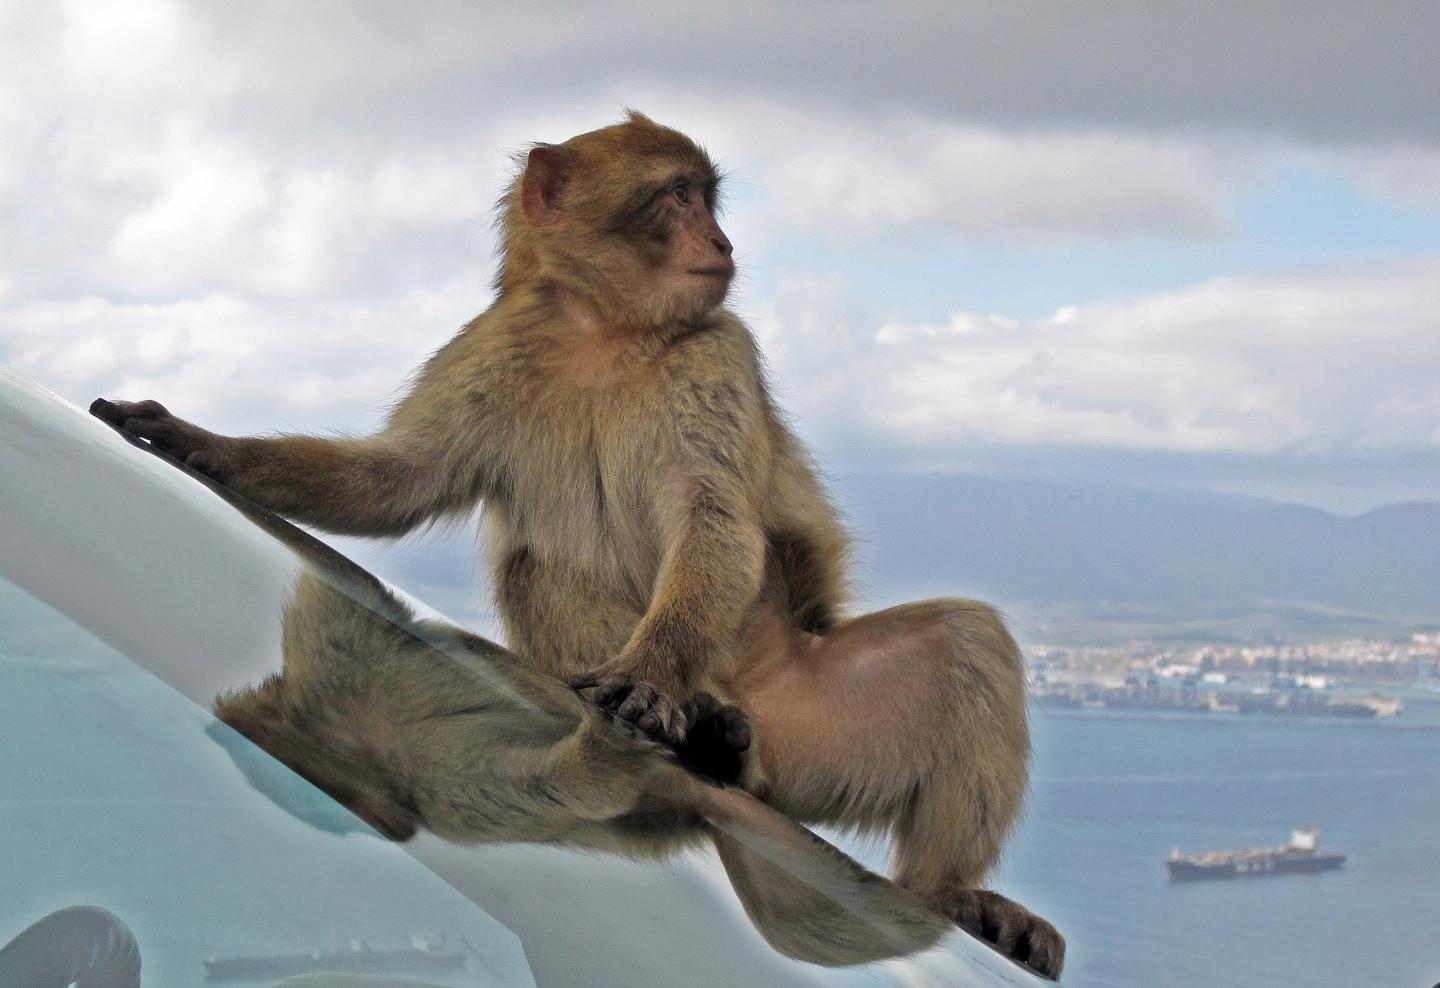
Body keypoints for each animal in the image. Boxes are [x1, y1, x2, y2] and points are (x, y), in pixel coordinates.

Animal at [91, 111, 1065, 978]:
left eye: (707, 198)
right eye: (677, 197)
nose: (722, 240)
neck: (607, 331)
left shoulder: (715, 352)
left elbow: (712, 515)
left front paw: (646, 679)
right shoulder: (490, 346)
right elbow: (398, 479)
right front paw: (201, 444)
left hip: (817, 723)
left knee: (966, 639)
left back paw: (935, 882)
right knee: (535, 565)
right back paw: (713, 734)